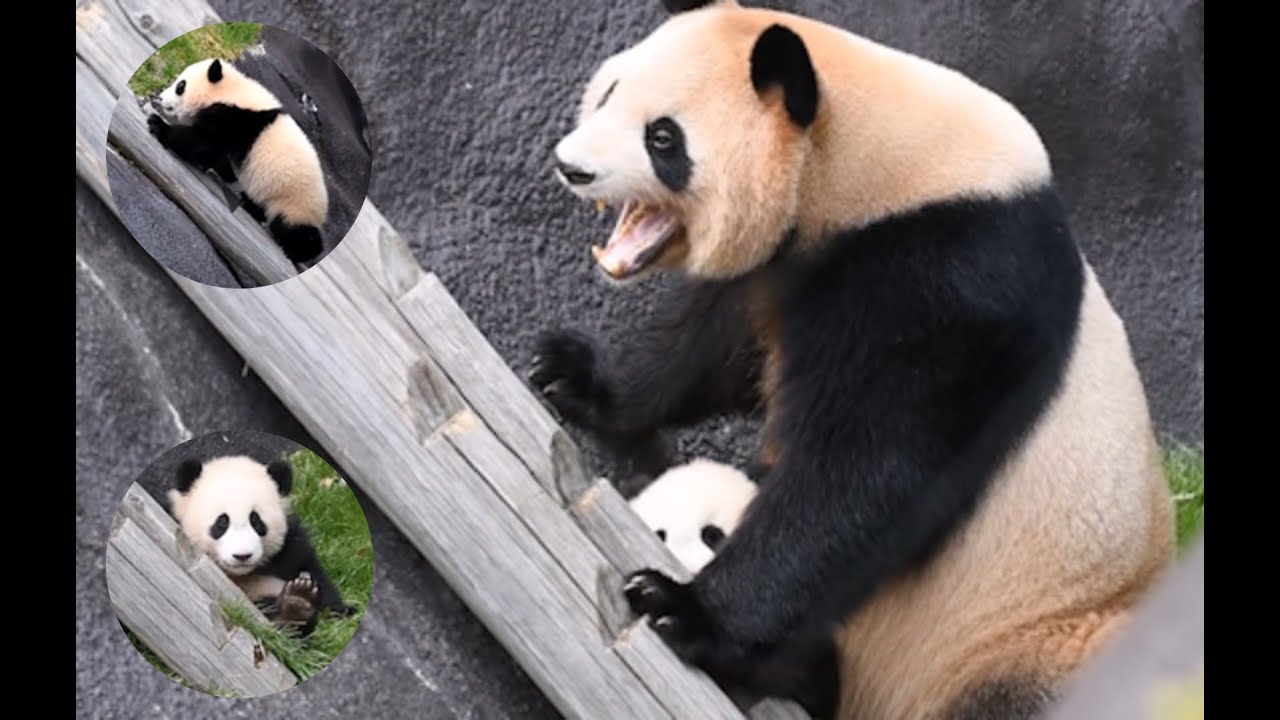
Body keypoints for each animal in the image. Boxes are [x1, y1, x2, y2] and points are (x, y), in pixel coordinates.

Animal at [147, 58, 329, 265]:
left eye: (180, 86)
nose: (161, 98)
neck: (232, 92)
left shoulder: (234, 120)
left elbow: (204, 143)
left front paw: (159, 126)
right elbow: (214, 155)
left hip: (294, 201)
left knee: (295, 231)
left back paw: (297, 251)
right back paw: (248, 203)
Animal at [167, 454, 355, 636]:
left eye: (256, 521)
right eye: (222, 522)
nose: (242, 556)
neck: (241, 575)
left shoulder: (290, 547)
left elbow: (314, 572)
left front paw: (340, 612)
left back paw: (298, 603)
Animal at [530, 2, 1176, 718]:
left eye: (663, 139)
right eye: (609, 92)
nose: (571, 166)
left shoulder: (954, 282)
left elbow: (864, 472)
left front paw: (682, 610)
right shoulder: (794, 267)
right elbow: (710, 344)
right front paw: (577, 378)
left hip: (1033, 638)